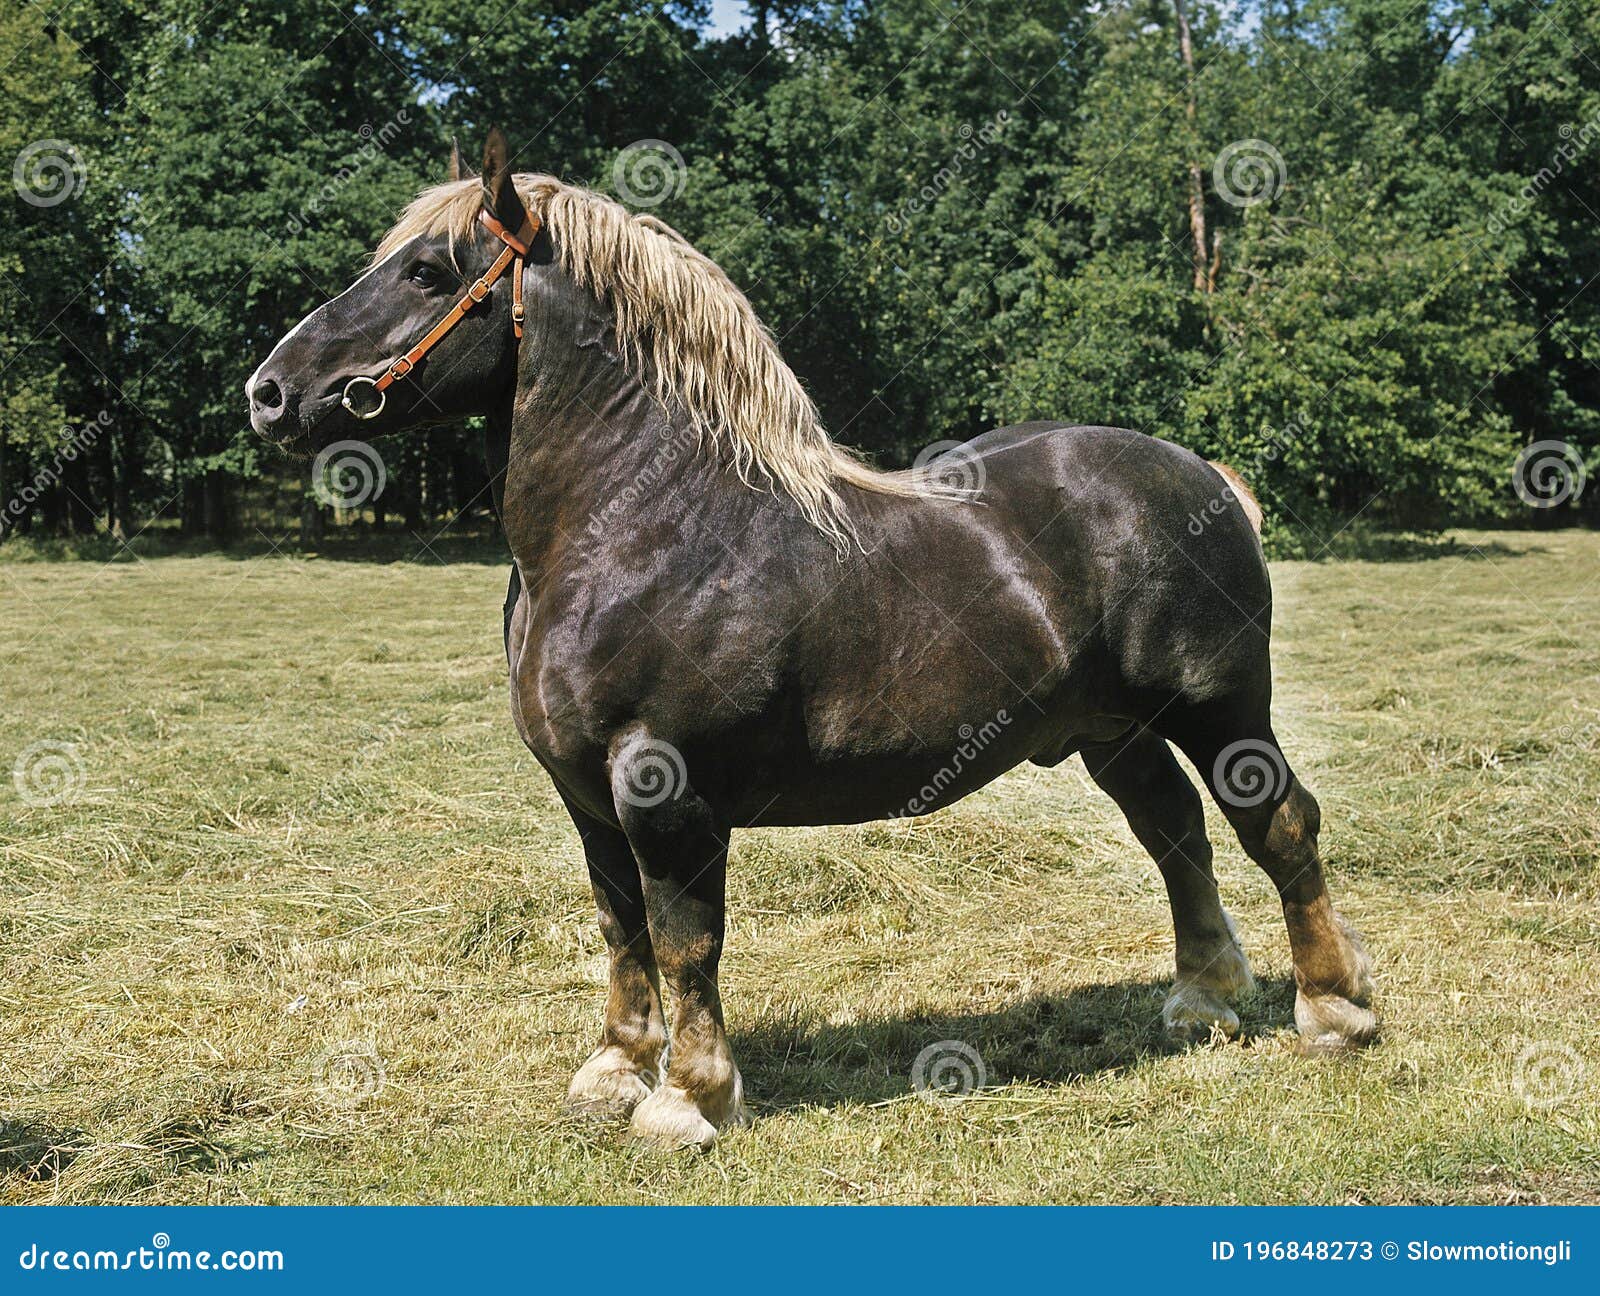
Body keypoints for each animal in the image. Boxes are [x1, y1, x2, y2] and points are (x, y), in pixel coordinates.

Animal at [247, 130, 1376, 1149]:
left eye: (427, 270)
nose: (268, 392)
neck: (640, 528)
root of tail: (1201, 478)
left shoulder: (661, 786)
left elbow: (684, 938)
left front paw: (688, 1099)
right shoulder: (583, 795)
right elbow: (622, 931)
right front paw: (615, 1072)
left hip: (1218, 709)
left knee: (1276, 825)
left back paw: (1334, 1011)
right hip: (1115, 733)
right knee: (1173, 832)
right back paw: (1202, 1002)